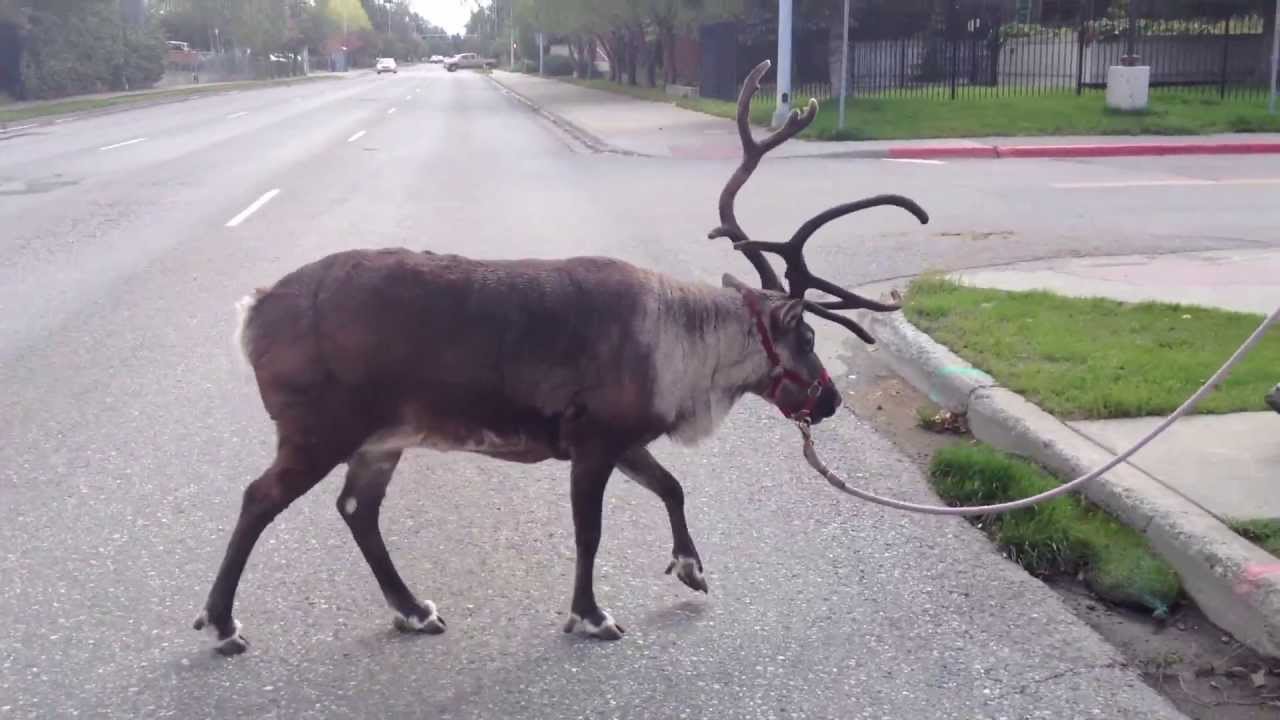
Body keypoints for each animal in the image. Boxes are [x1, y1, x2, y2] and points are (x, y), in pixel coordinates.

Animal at [192, 59, 928, 655]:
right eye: (806, 339)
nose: (830, 399)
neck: (684, 350)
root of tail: (253, 309)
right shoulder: (593, 440)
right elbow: (590, 533)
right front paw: (591, 615)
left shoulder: (626, 438)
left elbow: (673, 486)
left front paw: (690, 567)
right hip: (319, 427)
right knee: (260, 498)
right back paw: (223, 624)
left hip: (383, 436)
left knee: (356, 509)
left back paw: (413, 609)